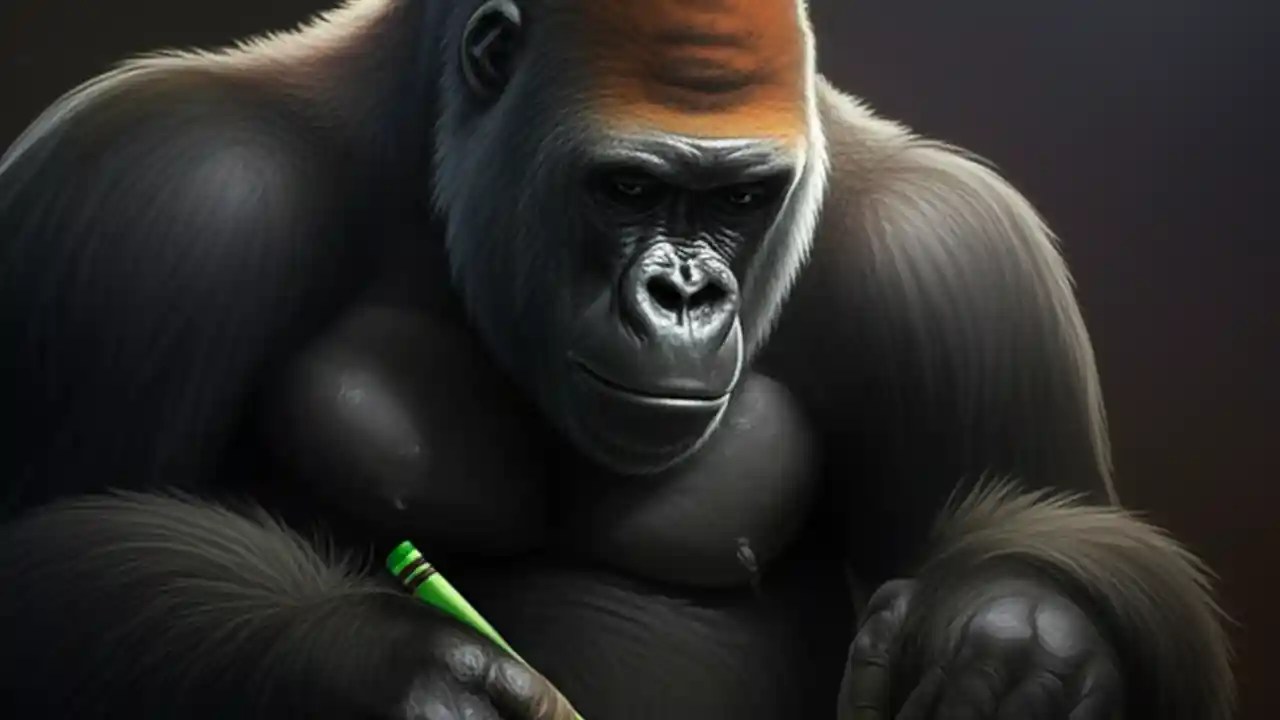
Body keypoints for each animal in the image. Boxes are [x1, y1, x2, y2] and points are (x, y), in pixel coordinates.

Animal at [0, 1, 1235, 718]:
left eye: (740, 199)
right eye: (630, 188)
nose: (684, 295)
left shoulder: (953, 256)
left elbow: (1055, 522)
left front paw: (1020, 637)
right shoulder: (168, 186)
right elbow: (42, 546)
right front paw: (371, 665)